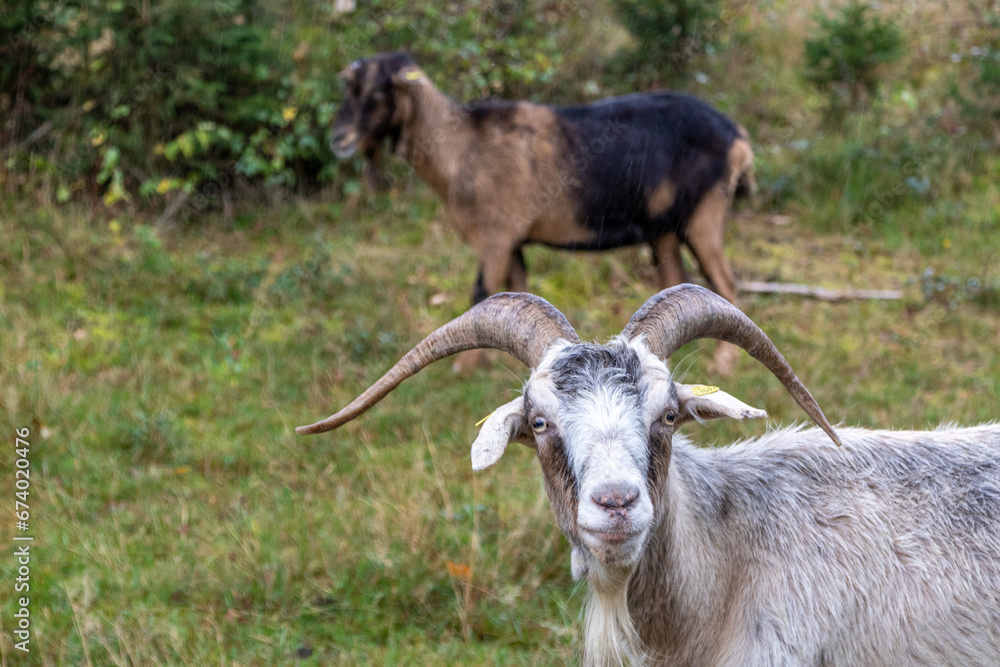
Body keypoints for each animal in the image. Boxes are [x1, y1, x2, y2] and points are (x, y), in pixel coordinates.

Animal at [331, 52, 755, 373]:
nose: (339, 138)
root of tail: (738, 137)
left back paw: (722, 364)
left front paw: (464, 368)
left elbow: (480, 294)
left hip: (705, 215)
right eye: (349, 88)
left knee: (726, 284)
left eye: (379, 89)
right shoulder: (513, 240)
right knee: (677, 281)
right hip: (664, 228)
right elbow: (514, 295)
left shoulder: (496, 236)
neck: (462, 149)